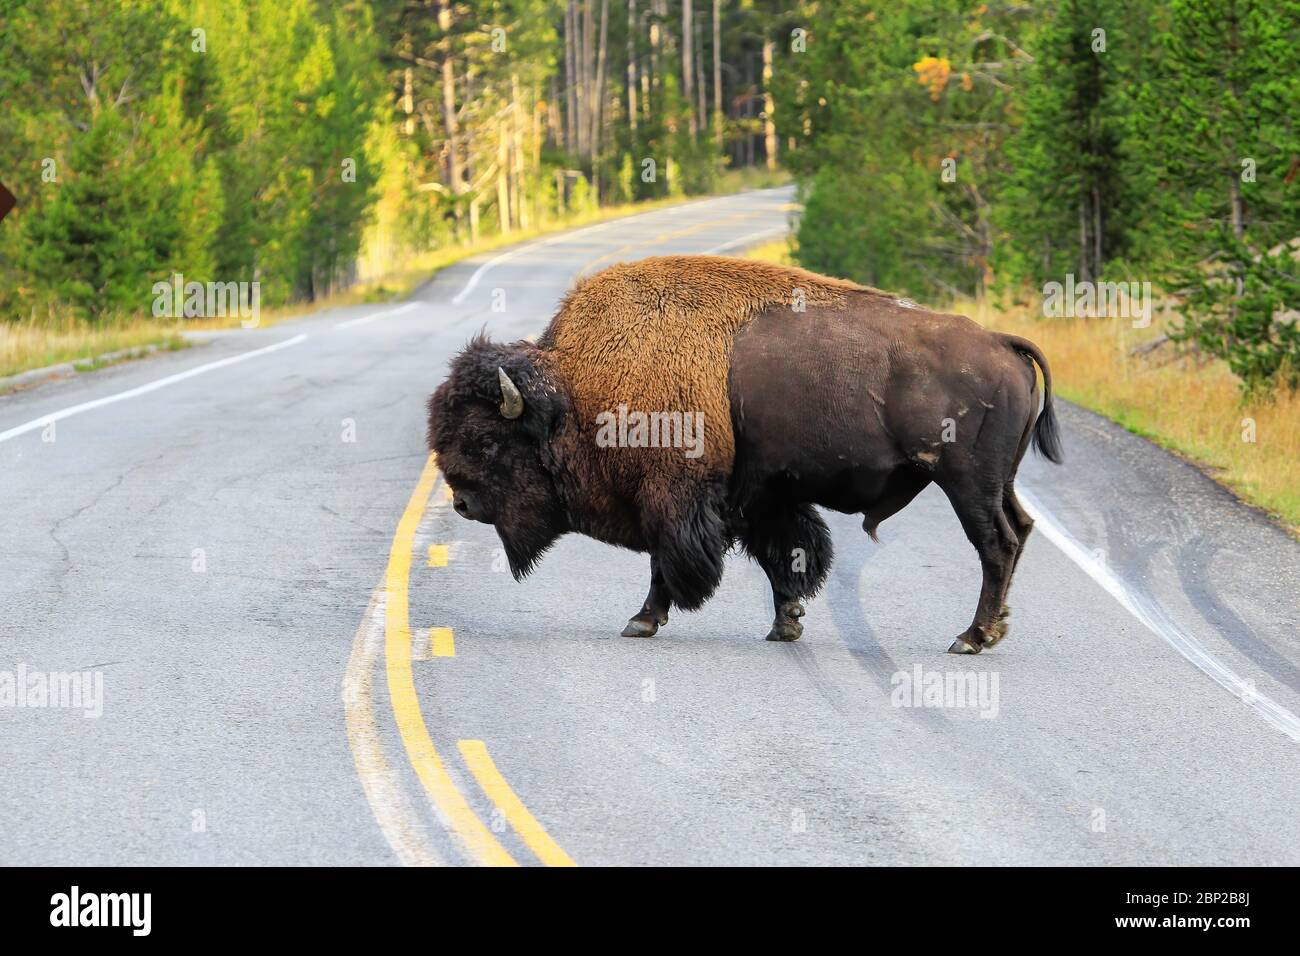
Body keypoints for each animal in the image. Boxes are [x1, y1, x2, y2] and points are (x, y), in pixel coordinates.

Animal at [427, 255, 1062, 654]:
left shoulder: (675, 496)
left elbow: (668, 561)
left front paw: (641, 621)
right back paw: (988, 631)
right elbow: (787, 555)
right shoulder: (759, 494)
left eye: (486, 439)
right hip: (997, 483)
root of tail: (1001, 342)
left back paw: (971, 638)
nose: (461, 503)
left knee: (996, 544)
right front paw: (787, 625)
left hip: (965, 483)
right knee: (1019, 530)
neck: (575, 392)